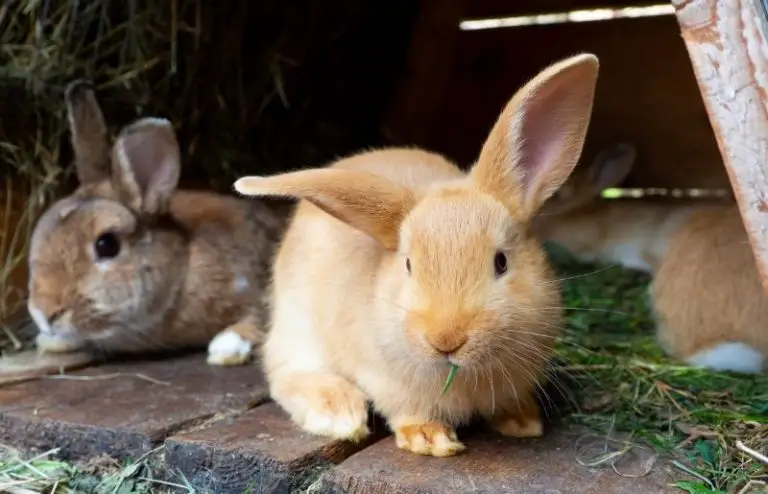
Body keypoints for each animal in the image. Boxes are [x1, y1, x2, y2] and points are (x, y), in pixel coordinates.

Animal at [26, 80, 290, 367]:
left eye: (107, 245)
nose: (45, 313)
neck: (181, 270)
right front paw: (52, 342)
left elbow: (260, 316)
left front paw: (227, 347)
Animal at [232, 54, 601, 456]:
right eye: (409, 264)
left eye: (501, 261)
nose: (446, 340)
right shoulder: (386, 382)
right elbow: (406, 411)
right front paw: (431, 439)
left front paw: (522, 422)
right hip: (297, 327)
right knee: (287, 373)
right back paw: (339, 414)